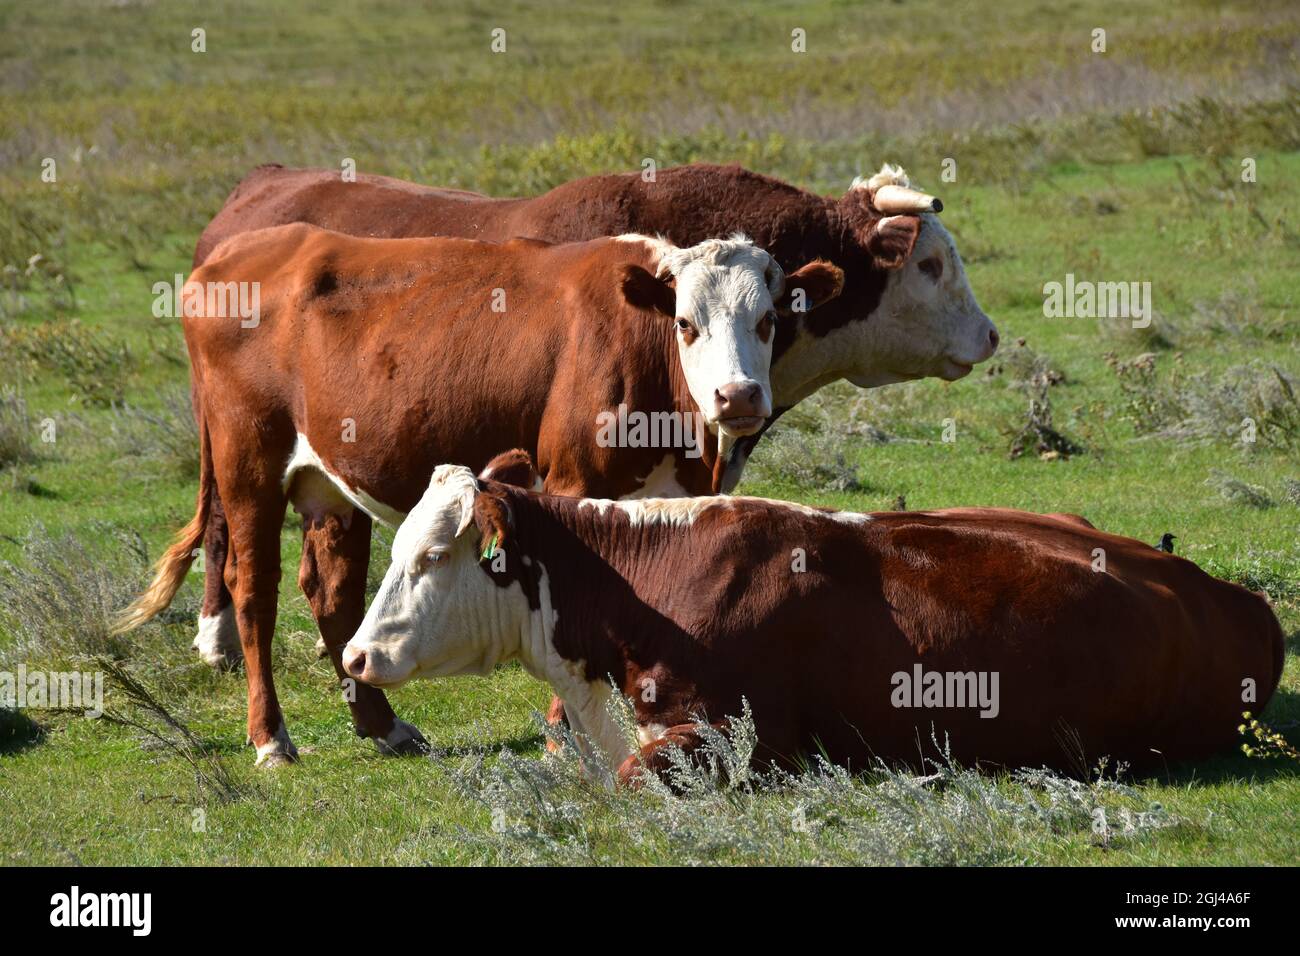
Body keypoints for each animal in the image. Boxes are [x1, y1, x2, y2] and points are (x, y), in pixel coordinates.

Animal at [115, 227, 844, 765]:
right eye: (687, 323)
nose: (738, 396)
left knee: (332, 594)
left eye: (768, 319)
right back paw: (271, 737)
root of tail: (237, 251)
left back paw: (381, 724)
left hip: (327, 481)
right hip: (248, 464)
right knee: (254, 594)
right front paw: (562, 741)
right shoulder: (571, 484)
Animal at [189, 162, 1000, 694]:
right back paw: (219, 641)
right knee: (229, 536)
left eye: (770, 318)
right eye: (931, 263)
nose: (991, 335)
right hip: (234, 449)